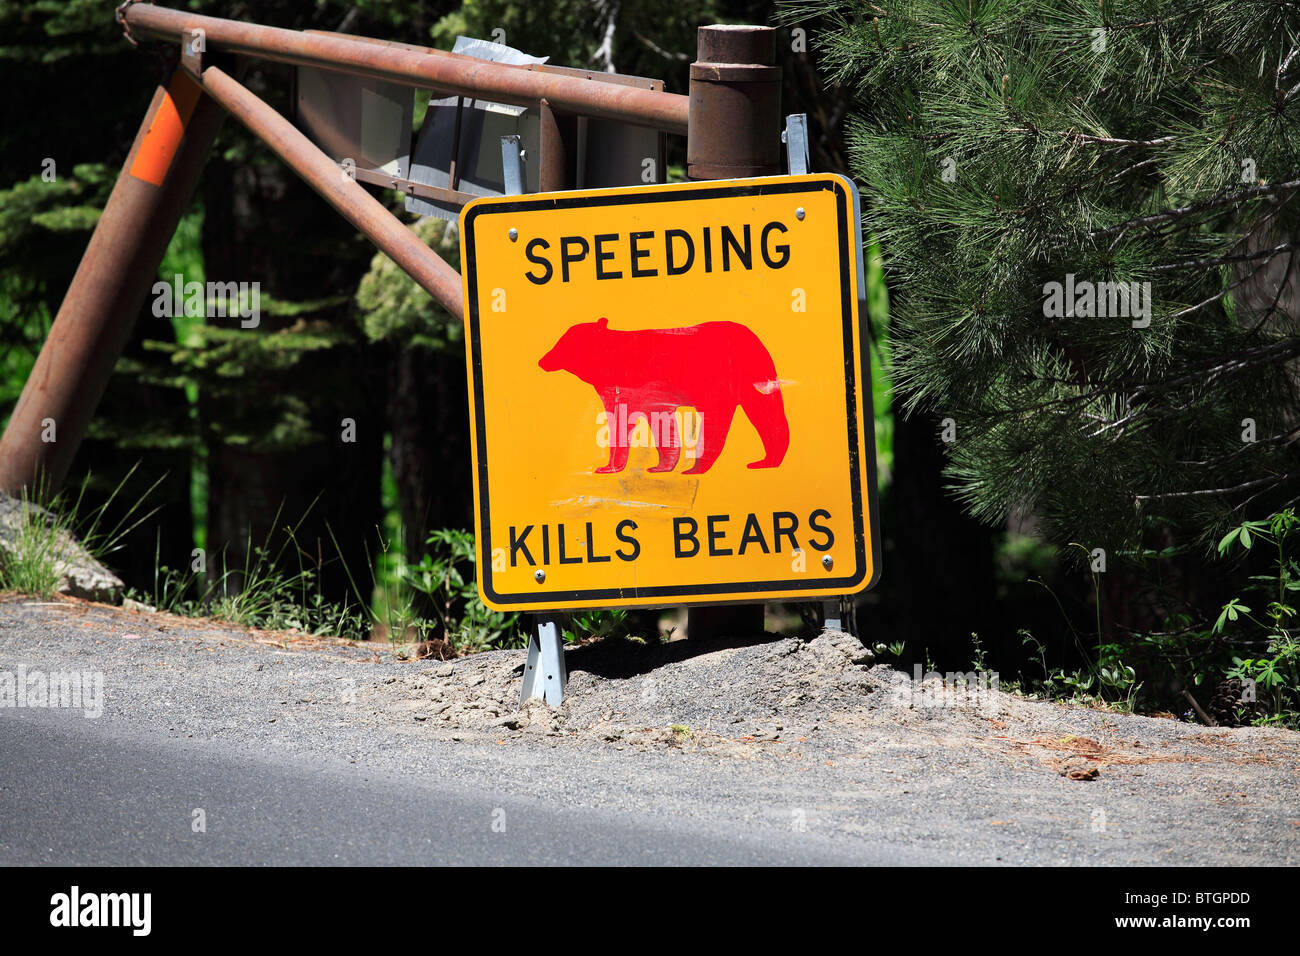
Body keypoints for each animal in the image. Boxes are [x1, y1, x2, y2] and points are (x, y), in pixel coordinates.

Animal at [538, 317, 790, 475]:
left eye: (564, 344)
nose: (542, 360)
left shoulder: (630, 386)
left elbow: (622, 422)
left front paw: (609, 466)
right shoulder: (649, 397)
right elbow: (662, 425)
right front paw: (659, 466)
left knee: (719, 419)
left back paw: (696, 467)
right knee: (764, 410)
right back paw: (767, 461)